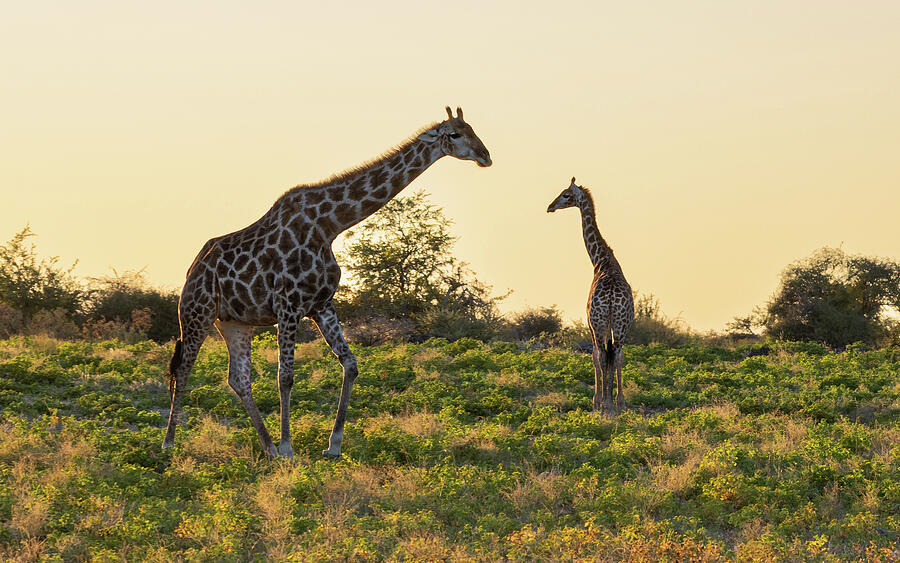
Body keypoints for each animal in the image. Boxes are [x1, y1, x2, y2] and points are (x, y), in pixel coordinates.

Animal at [163, 107, 491, 458]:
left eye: (473, 129)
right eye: (455, 134)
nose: (486, 156)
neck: (329, 227)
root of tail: (192, 269)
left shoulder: (321, 304)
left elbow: (350, 363)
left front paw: (332, 444)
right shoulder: (288, 305)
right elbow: (286, 375)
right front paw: (289, 446)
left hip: (235, 322)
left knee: (238, 379)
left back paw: (267, 447)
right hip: (196, 313)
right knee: (183, 369)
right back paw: (170, 443)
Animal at [547, 177, 634, 416]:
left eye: (566, 194)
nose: (550, 207)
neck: (601, 260)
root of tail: (612, 297)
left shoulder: (590, 322)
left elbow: (596, 357)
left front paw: (598, 401)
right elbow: (611, 358)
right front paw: (608, 401)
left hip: (599, 321)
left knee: (602, 355)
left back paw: (605, 403)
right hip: (622, 324)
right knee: (618, 355)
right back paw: (620, 403)